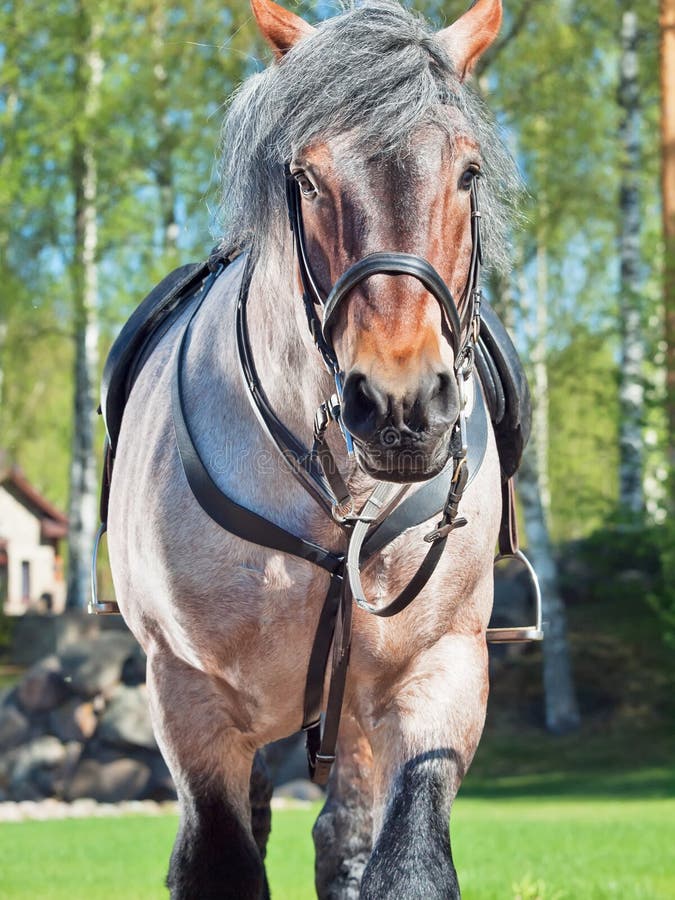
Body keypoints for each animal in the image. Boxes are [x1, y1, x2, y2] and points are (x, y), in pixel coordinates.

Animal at [101, 1, 529, 896]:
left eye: (467, 173)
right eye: (303, 177)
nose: (400, 405)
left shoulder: (437, 671)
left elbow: (402, 863)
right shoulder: (190, 694)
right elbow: (220, 860)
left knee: (346, 833)